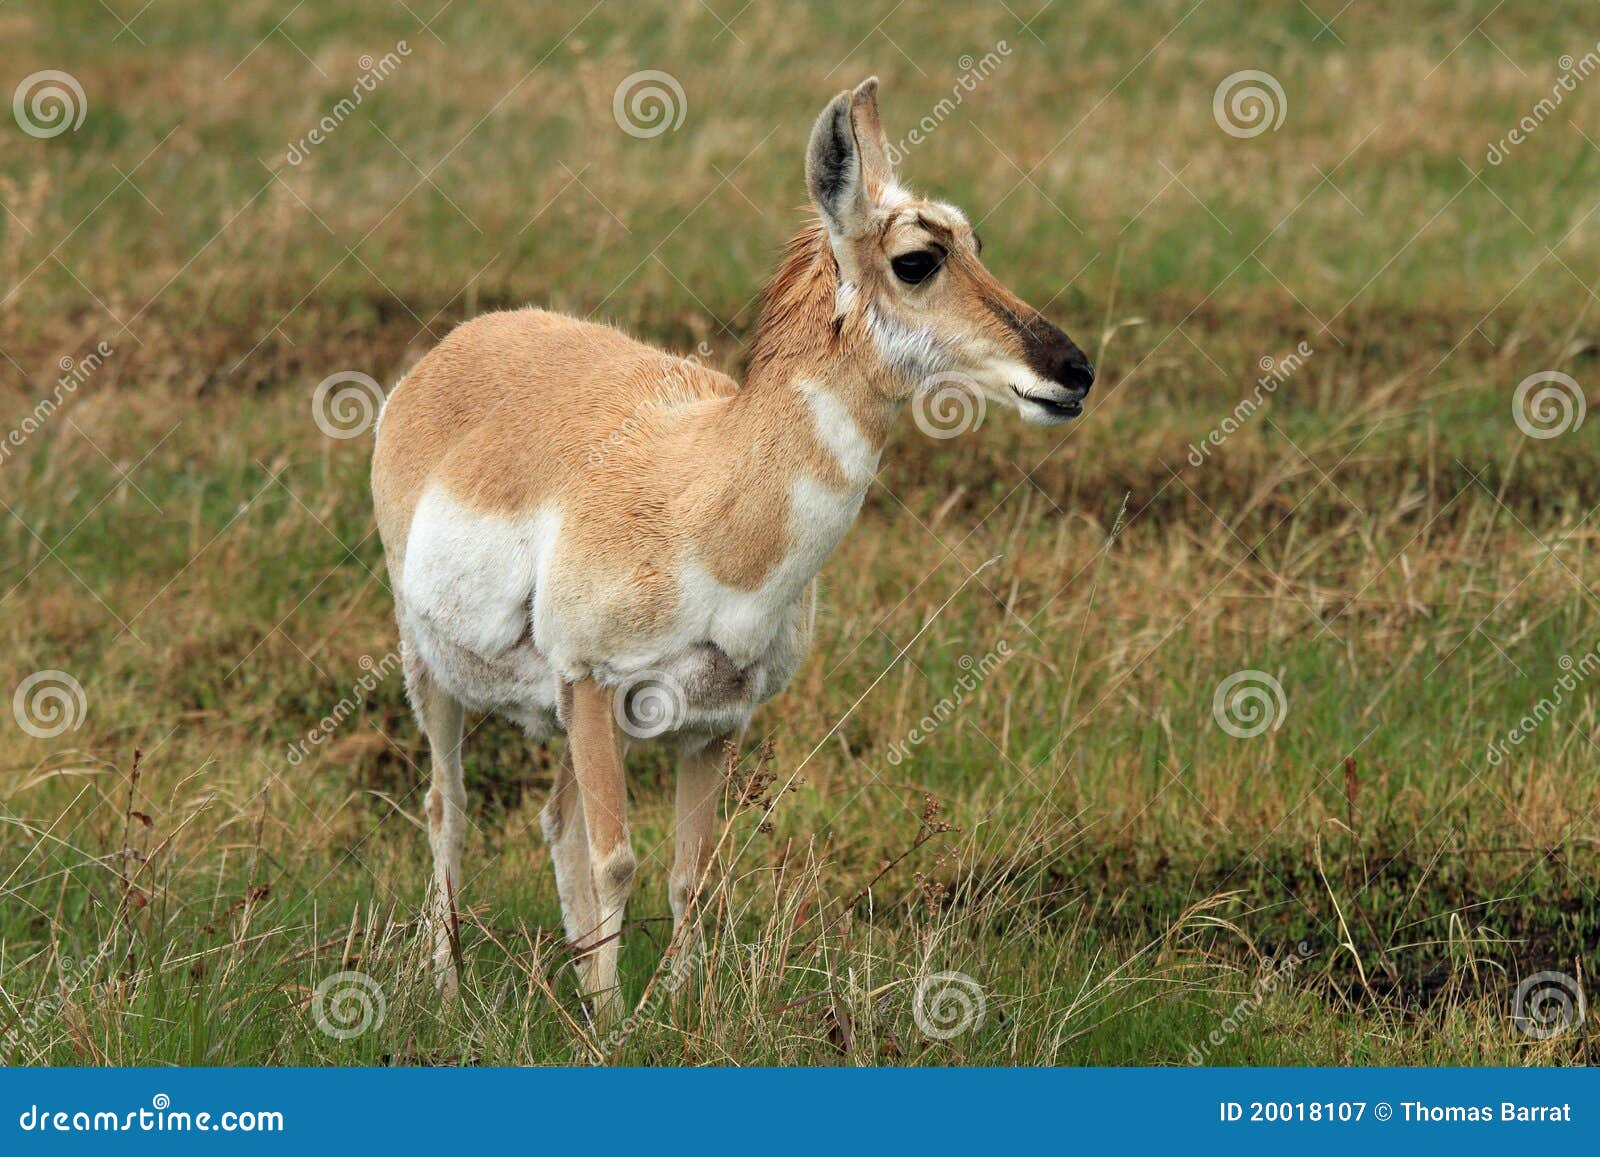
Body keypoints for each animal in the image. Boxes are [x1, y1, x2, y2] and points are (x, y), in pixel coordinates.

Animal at [370, 77, 1095, 1023]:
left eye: (978, 241)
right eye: (917, 260)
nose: (1073, 371)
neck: (706, 495)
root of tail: (465, 342)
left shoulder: (714, 723)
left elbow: (690, 875)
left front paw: (666, 1011)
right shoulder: (595, 684)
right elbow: (618, 860)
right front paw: (615, 1027)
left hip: (558, 712)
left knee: (555, 822)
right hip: (435, 670)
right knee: (447, 808)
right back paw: (449, 989)